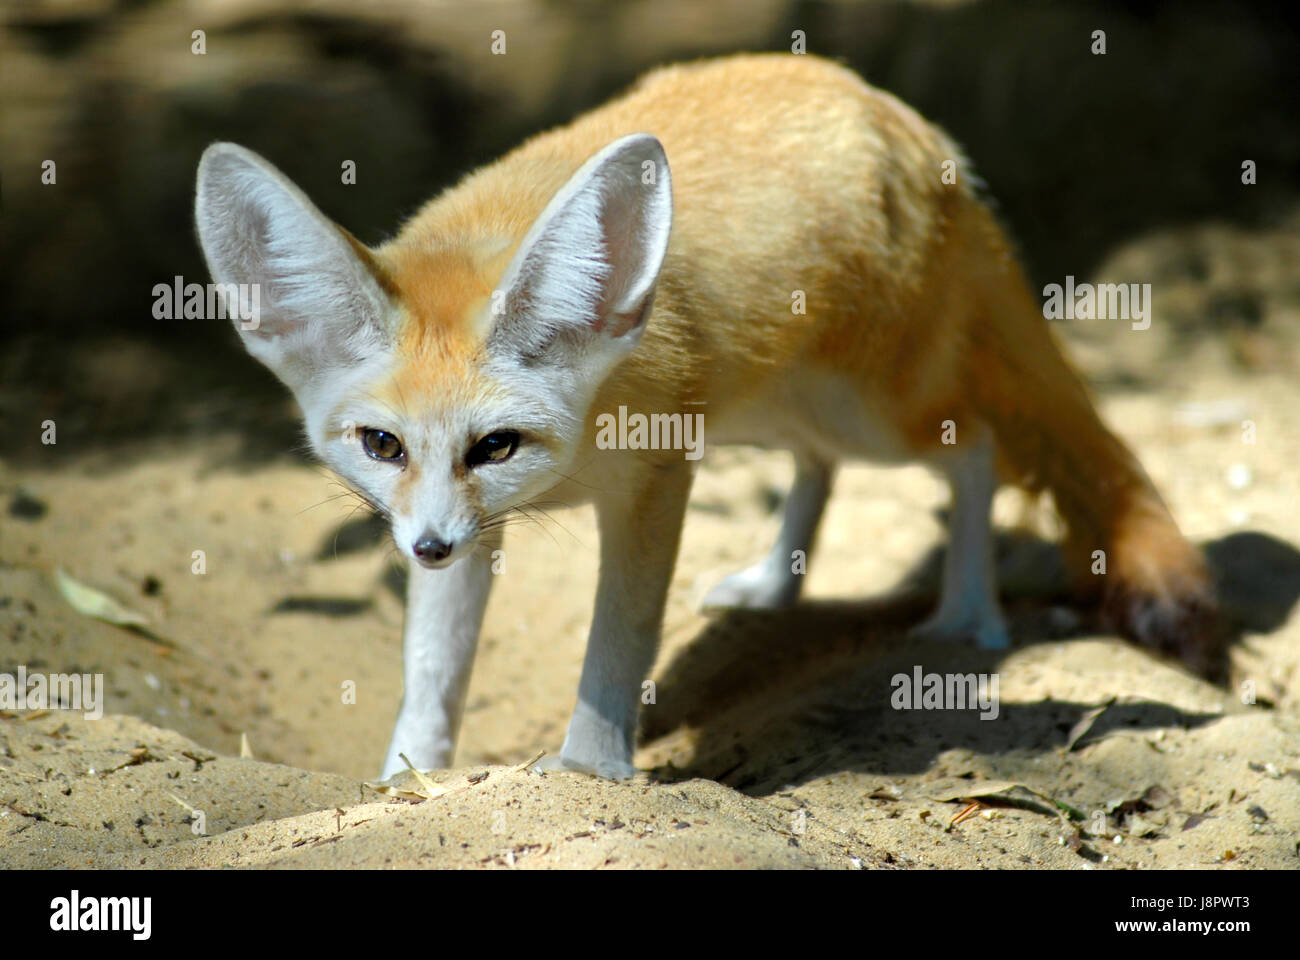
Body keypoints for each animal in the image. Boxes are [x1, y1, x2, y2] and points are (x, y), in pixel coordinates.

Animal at [195, 53, 1215, 780]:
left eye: (496, 445)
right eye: (382, 445)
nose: (427, 549)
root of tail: (891, 108)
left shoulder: (654, 482)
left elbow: (616, 644)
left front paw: (591, 768)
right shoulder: (480, 525)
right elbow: (433, 671)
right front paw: (408, 777)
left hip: (872, 413)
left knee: (978, 450)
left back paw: (969, 612)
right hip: (767, 412)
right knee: (819, 466)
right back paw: (774, 585)